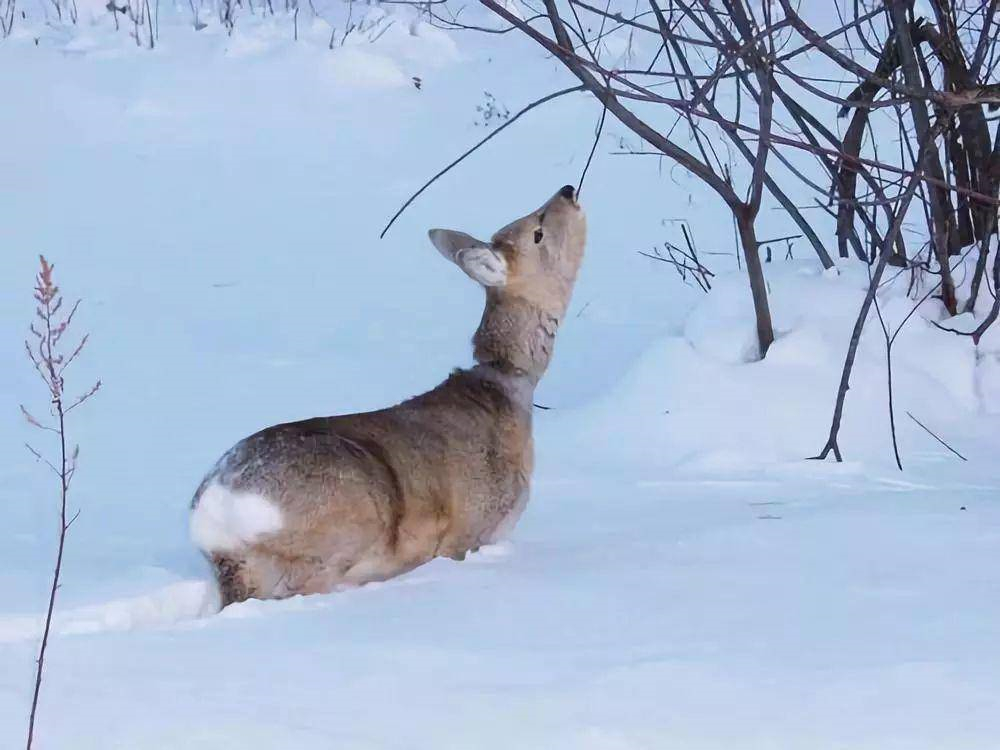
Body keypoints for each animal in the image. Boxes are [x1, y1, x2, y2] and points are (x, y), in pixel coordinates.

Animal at [189, 185, 586, 606]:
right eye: (537, 233)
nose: (567, 190)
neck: (507, 386)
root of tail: (215, 520)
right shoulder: (470, 531)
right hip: (334, 536)